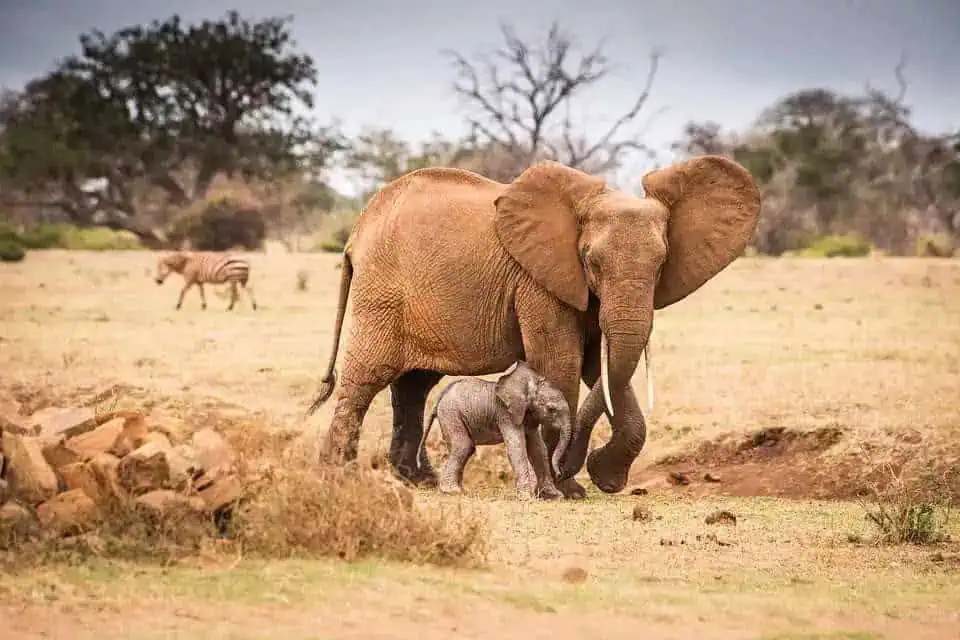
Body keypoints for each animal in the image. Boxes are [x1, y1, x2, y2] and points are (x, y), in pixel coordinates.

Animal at [418, 361, 573, 499]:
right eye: (551, 409)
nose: (559, 474)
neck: (525, 386)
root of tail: (440, 396)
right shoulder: (505, 414)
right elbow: (517, 448)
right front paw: (527, 498)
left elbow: (538, 449)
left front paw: (555, 496)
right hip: (451, 414)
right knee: (463, 446)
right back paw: (452, 492)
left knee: (461, 448)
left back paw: (458, 490)